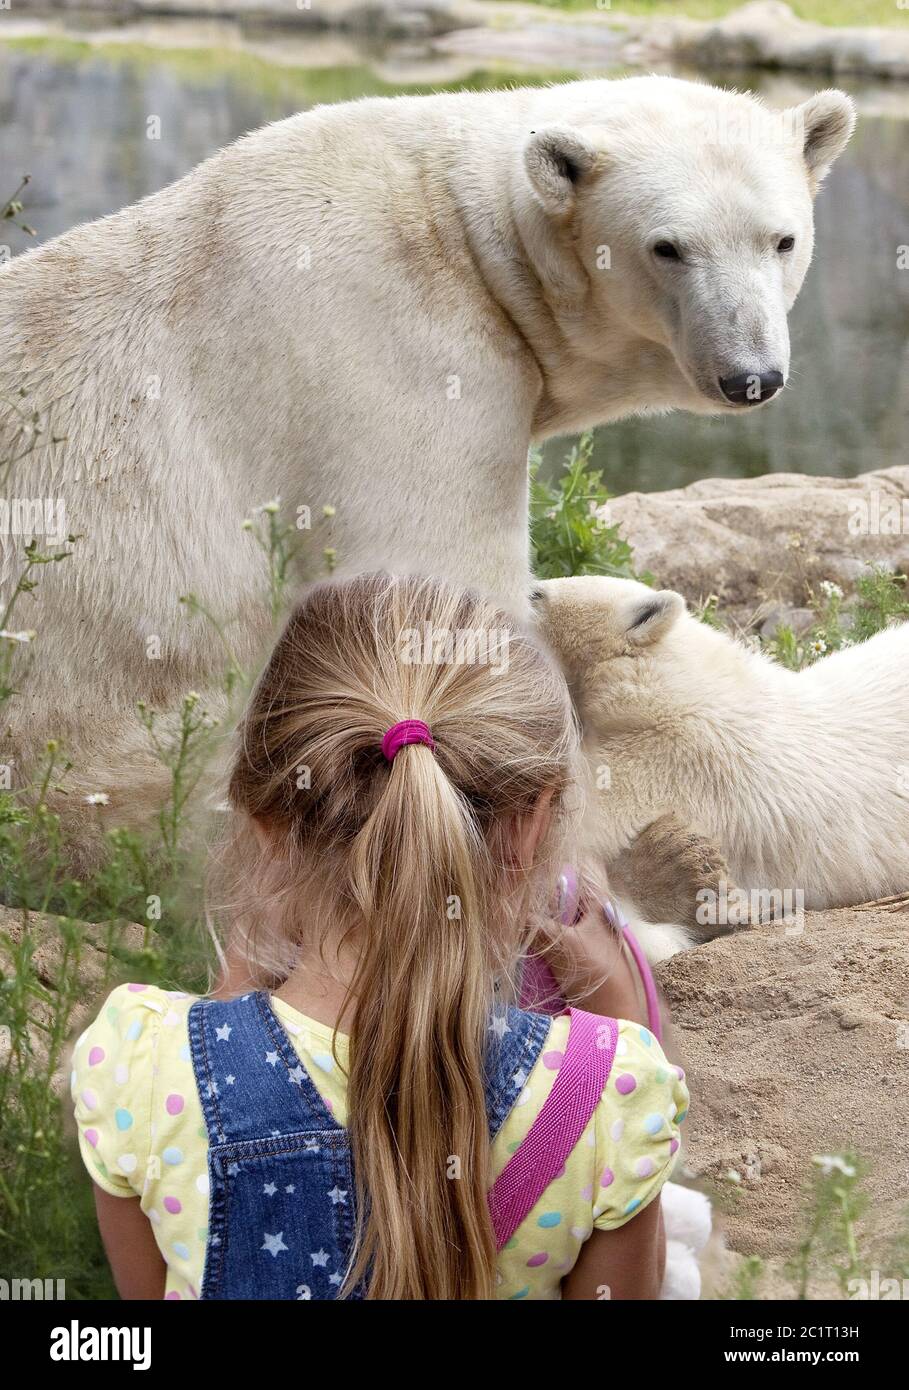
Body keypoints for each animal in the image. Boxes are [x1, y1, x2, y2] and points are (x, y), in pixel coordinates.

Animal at [0, 76, 854, 843]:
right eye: (667, 248)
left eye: (780, 239)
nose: (749, 374)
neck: (466, 242)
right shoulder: (402, 360)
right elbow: (438, 599)